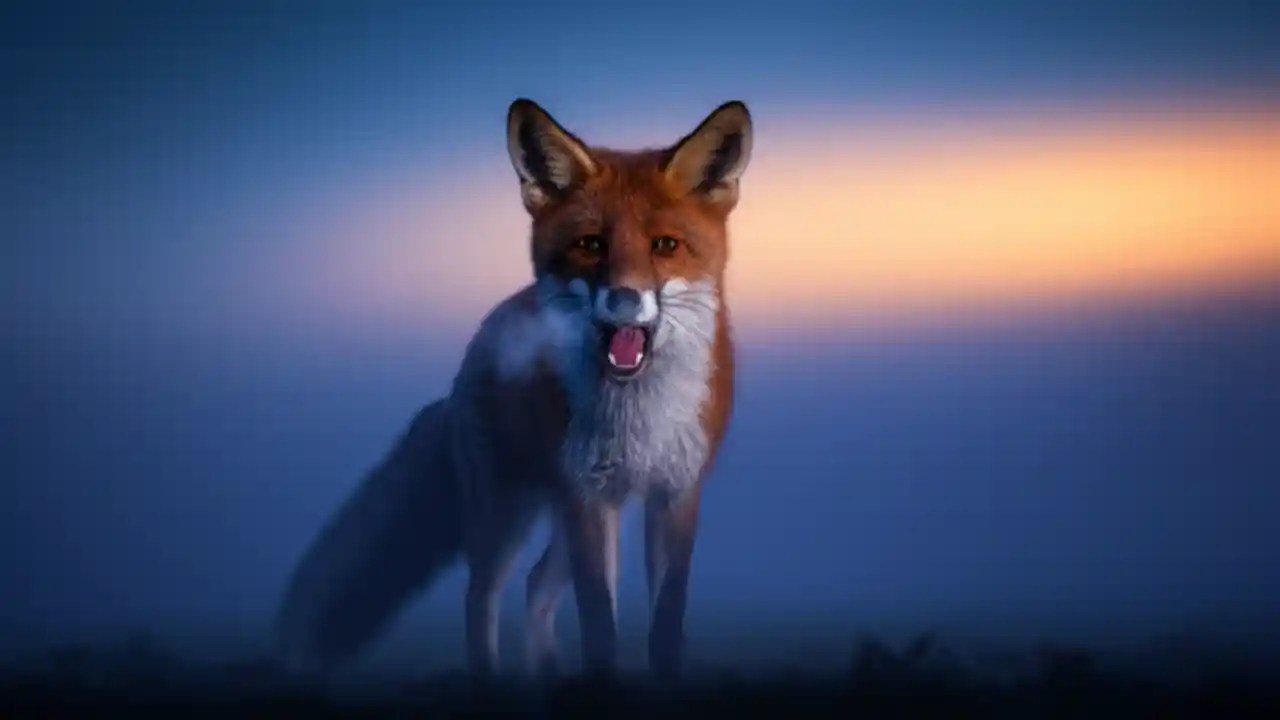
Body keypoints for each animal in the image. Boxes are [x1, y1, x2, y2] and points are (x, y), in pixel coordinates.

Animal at [275, 98, 753, 681]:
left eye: (666, 246)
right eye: (590, 244)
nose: (623, 300)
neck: (637, 415)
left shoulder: (675, 494)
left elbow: (665, 625)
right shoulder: (588, 498)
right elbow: (600, 626)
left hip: (567, 517)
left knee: (535, 587)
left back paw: (547, 673)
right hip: (507, 514)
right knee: (480, 597)